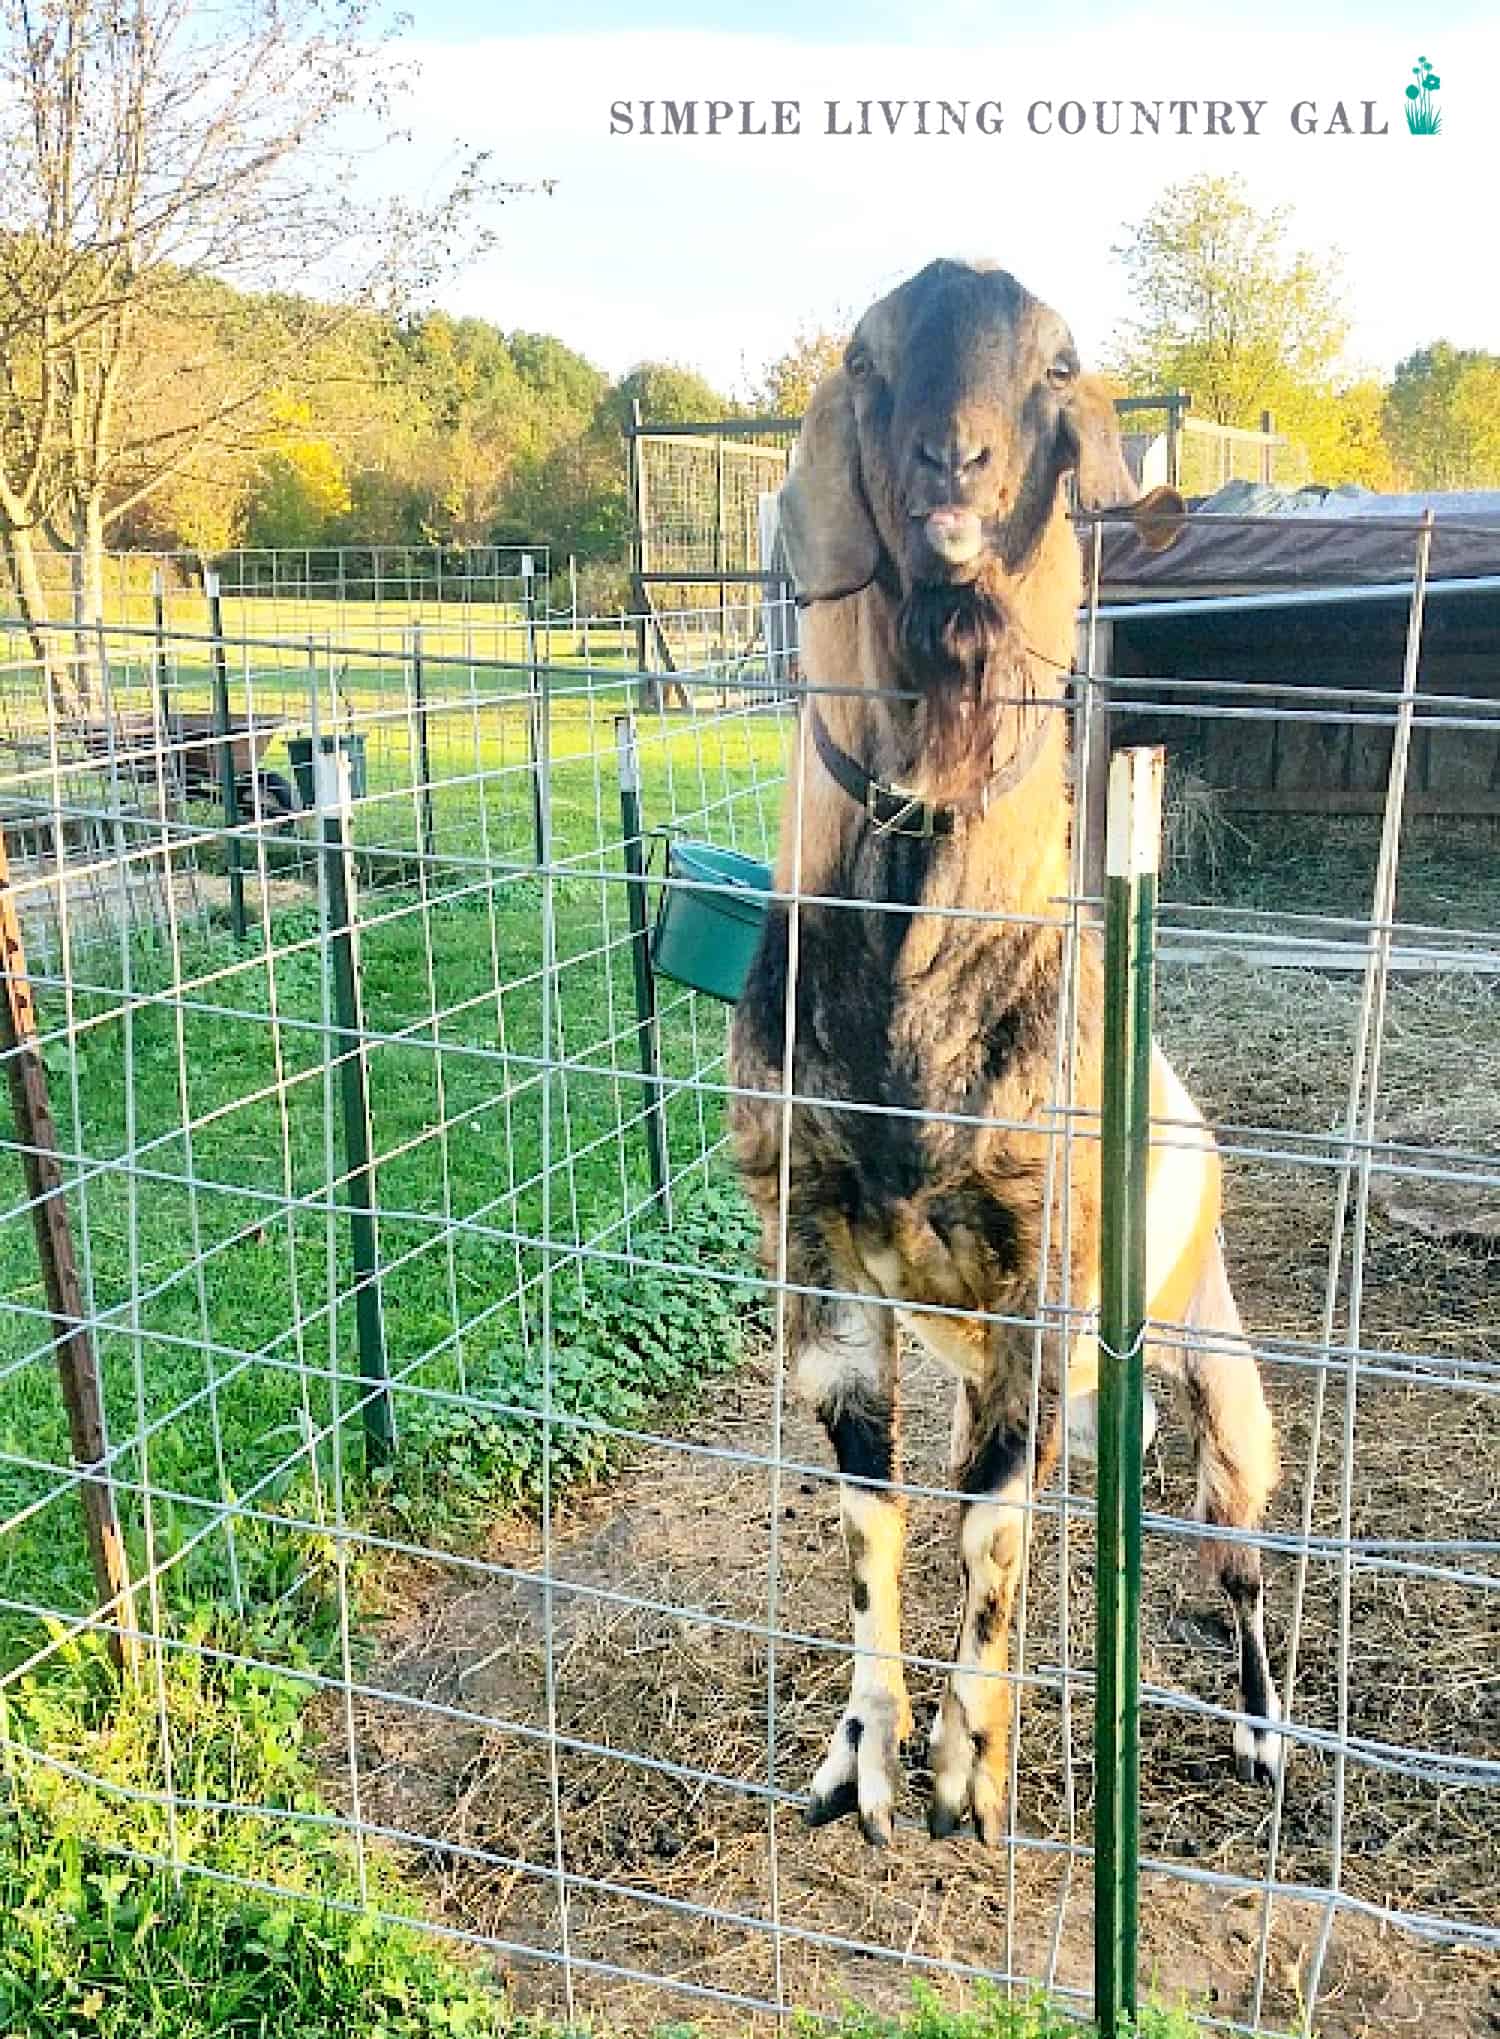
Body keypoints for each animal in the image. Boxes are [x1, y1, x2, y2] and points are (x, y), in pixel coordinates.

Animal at [728, 260, 1281, 1848]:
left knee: (1234, 1535)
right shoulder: (816, 1241)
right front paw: (866, 1754)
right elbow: (874, 1511)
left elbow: (987, 1518)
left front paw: (972, 1764)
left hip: (1212, 1356)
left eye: (1060, 364)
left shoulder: (1042, 1270)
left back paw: (1265, 1735)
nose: (951, 468)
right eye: (866, 357)